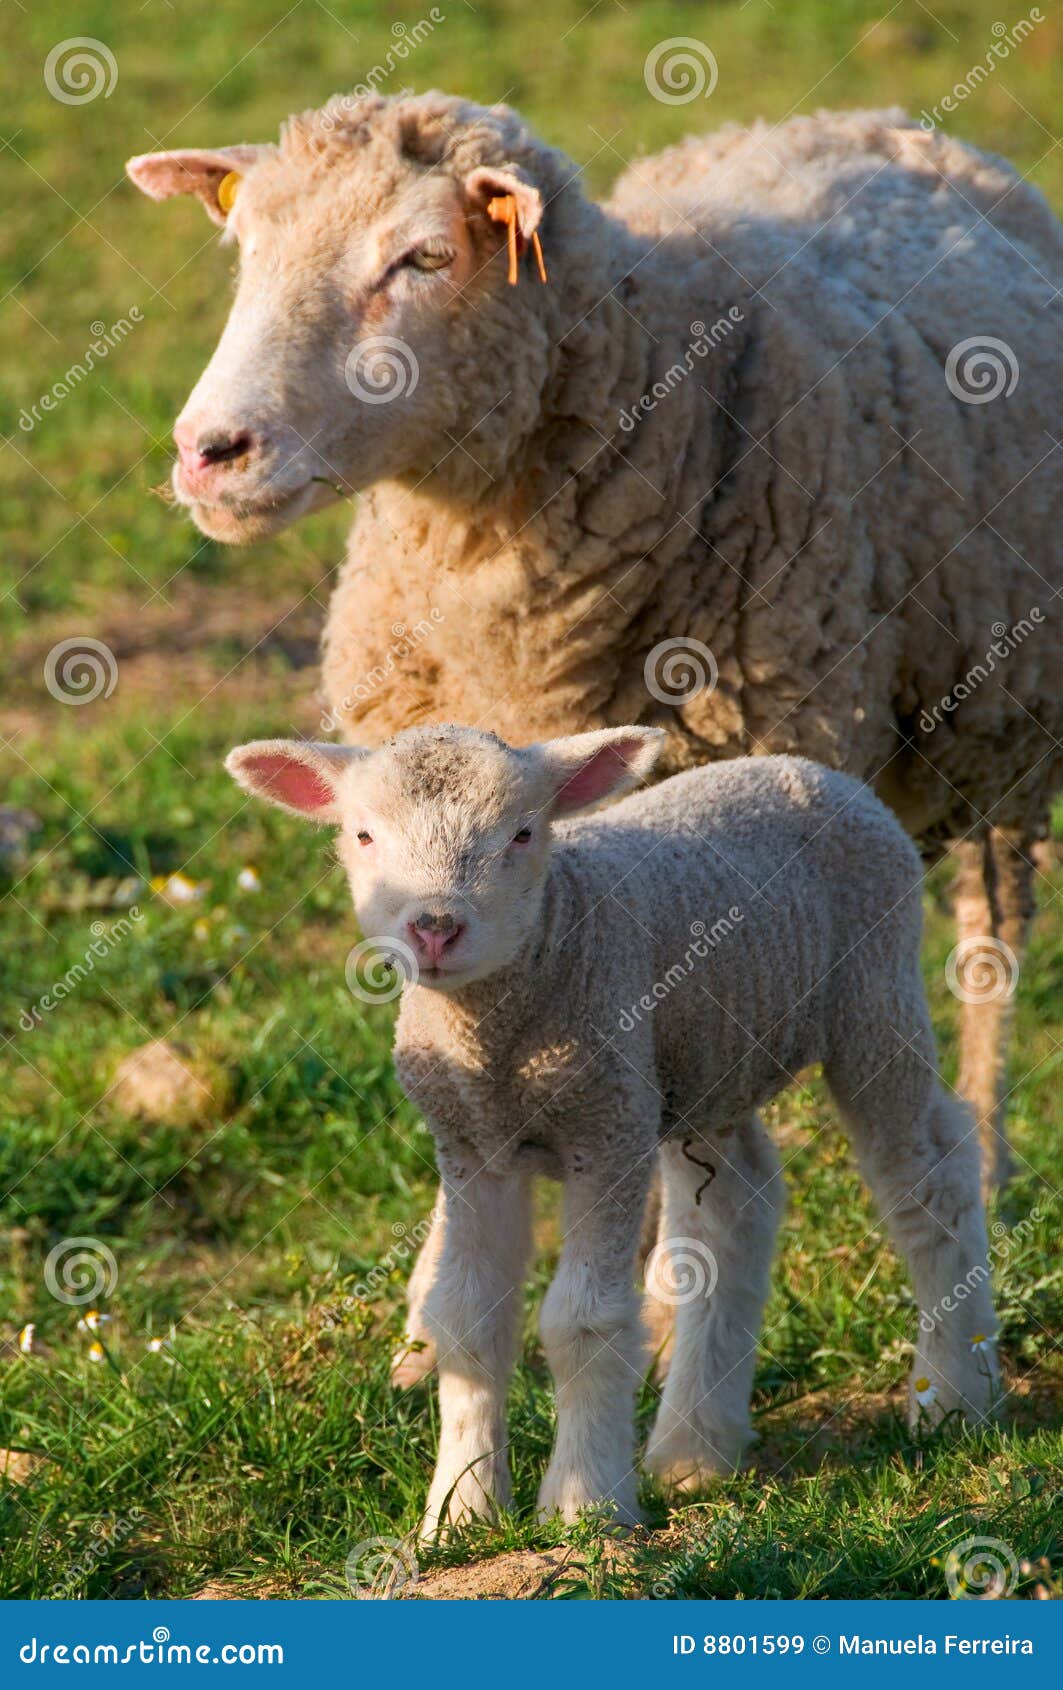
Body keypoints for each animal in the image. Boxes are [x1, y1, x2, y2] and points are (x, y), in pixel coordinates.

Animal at [128, 93, 1061, 1205]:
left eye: (424, 257)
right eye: (246, 248)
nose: (207, 452)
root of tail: (879, 121)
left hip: (1005, 725)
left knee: (991, 935)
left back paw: (991, 1149)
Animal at [225, 723, 1000, 1531]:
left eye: (522, 833)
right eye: (363, 835)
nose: (434, 928)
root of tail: (812, 770)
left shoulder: (606, 1131)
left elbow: (582, 1323)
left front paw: (584, 1506)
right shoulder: (471, 1145)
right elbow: (466, 1321)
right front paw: (460, 1511)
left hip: (873, 996)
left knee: (929, 1173)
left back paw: (953, 1394)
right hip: (705, 1060)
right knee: (737, 1206)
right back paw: (695, 1449)